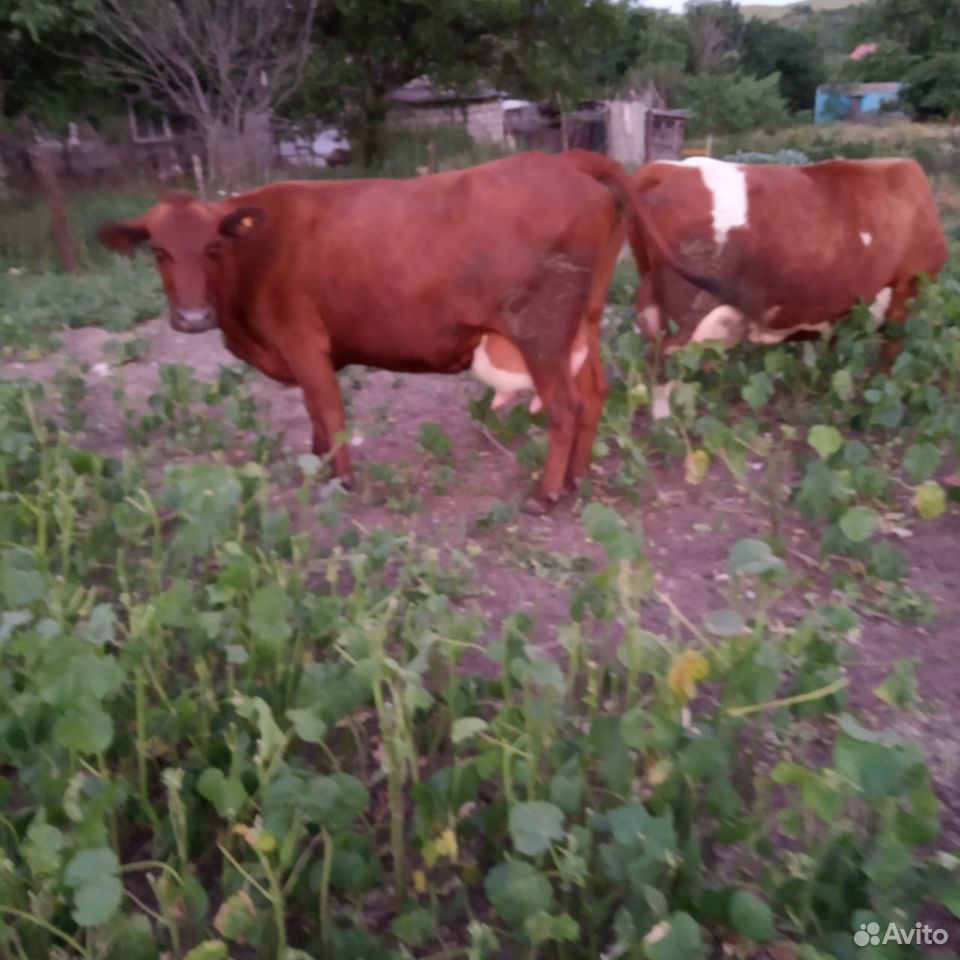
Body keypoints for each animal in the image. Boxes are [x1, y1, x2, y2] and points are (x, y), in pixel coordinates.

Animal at [97, 150, 720, 510]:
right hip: (580, 326)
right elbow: (314, 412)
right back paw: (575, 478)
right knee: (593, 394)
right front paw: (317, 462)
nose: (192, 318)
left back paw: (546, 492)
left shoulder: (303, 340)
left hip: (541, 331)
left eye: (213, 246)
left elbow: (329, 408)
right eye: (158, 251)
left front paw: (340, 480)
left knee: (565, 406)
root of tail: (561, 157)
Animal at [632, 157, 949, 418]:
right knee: (661, 362)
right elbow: (888, 362)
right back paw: (666, 424)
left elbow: (833, 354)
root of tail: (671, 167)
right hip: (685, 311)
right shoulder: (906, 293)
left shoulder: (843, 307)